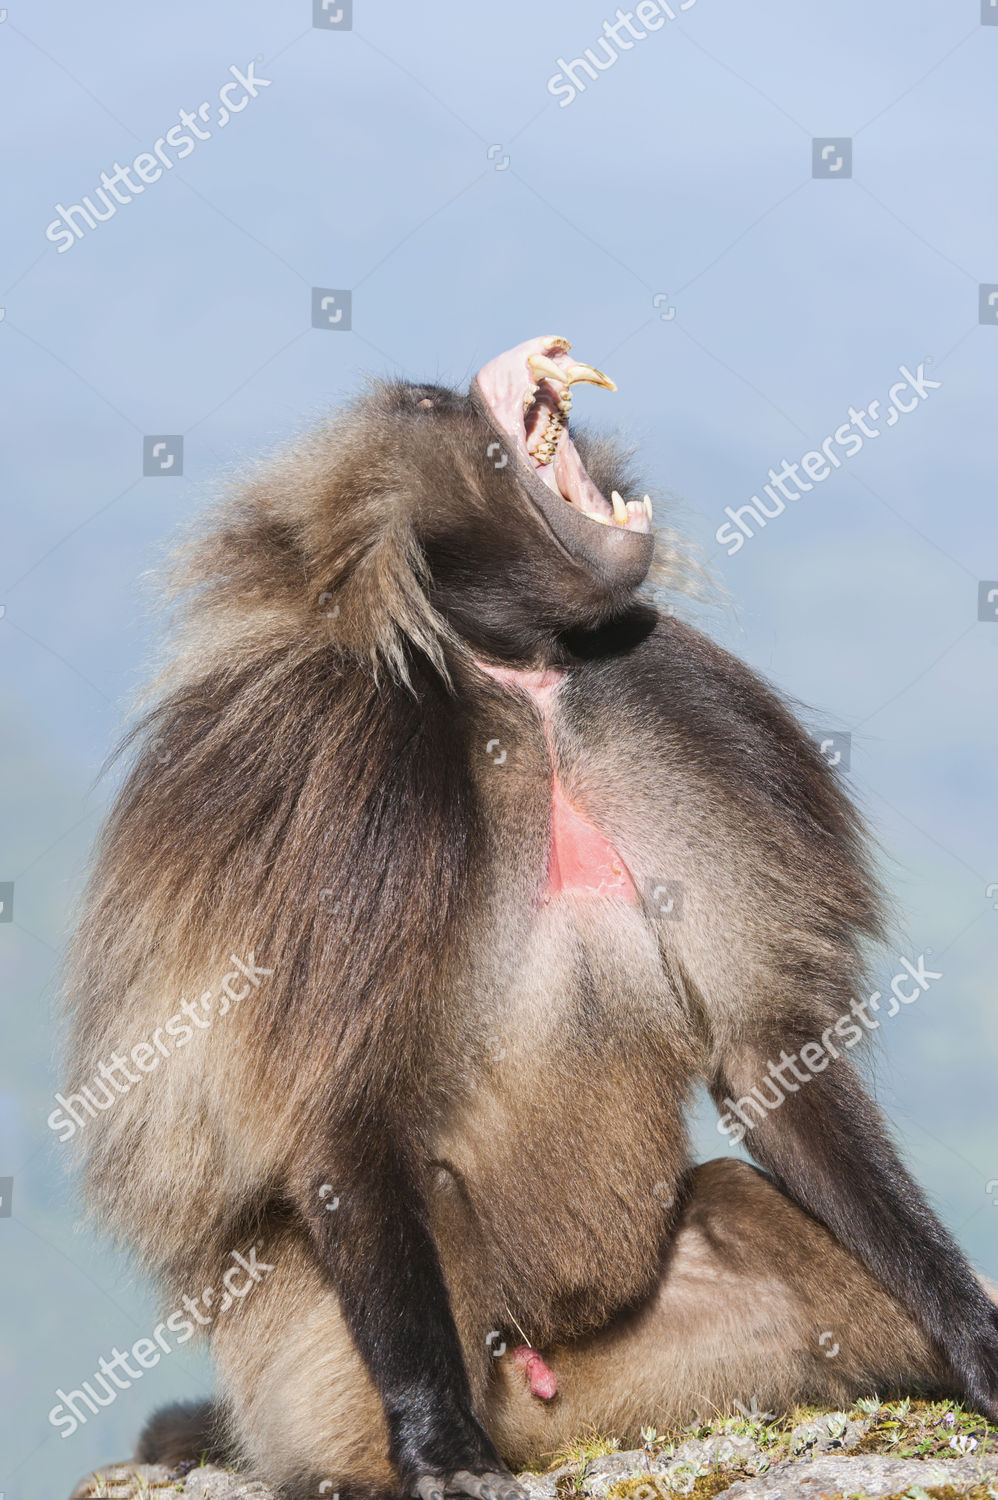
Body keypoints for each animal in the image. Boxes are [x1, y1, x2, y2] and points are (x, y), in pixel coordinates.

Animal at [63, 335, 998, 1500]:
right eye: (427, 405)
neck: (515, 672)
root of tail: (561, 1405)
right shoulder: (336, 770)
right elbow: (335, 1112)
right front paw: (437, 1447)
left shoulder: (666, 710)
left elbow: (764, 1054)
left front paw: (977, 1337)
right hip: (313, 1366)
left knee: (740, 1208)